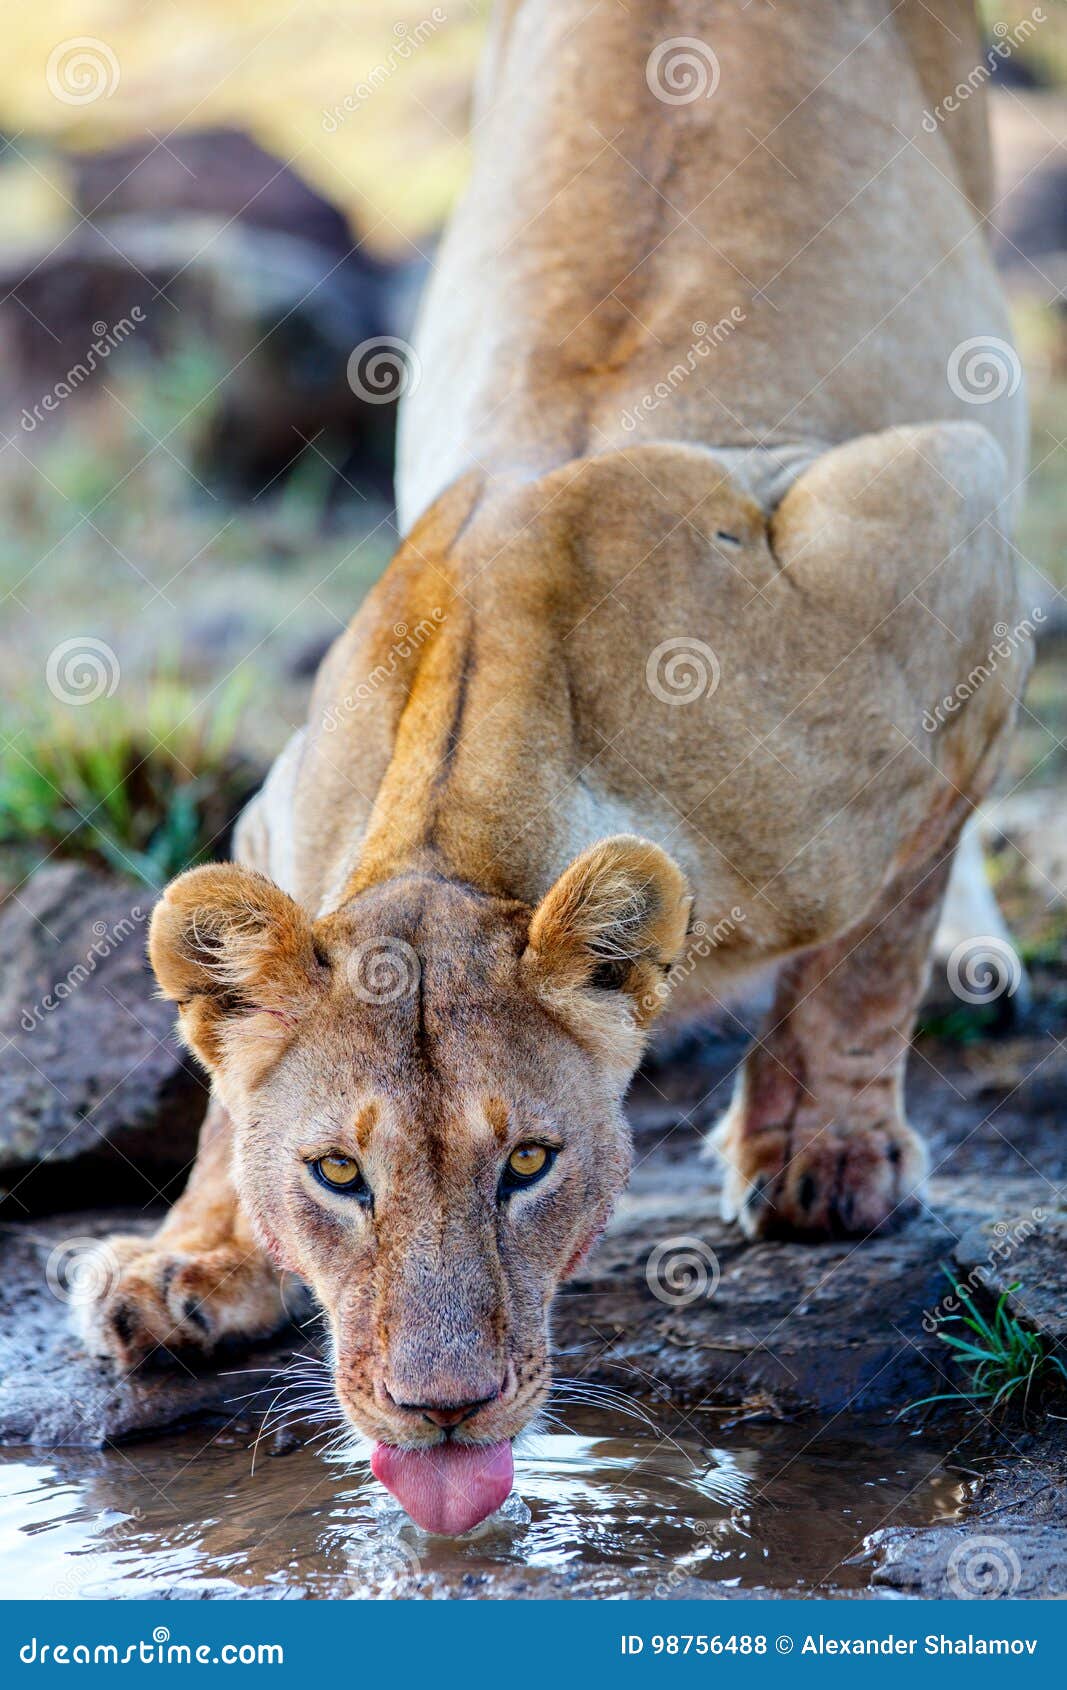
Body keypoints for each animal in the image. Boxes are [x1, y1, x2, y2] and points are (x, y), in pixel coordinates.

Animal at [78, 0, 1030, 1536]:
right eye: (335, 1174)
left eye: (527, 1162)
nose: (442, 1408)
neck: (454, 822)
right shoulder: (273, 814)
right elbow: (226, 1074)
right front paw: (196, 1260)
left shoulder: (937, 521)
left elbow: (871, 935)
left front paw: (822, 1155)